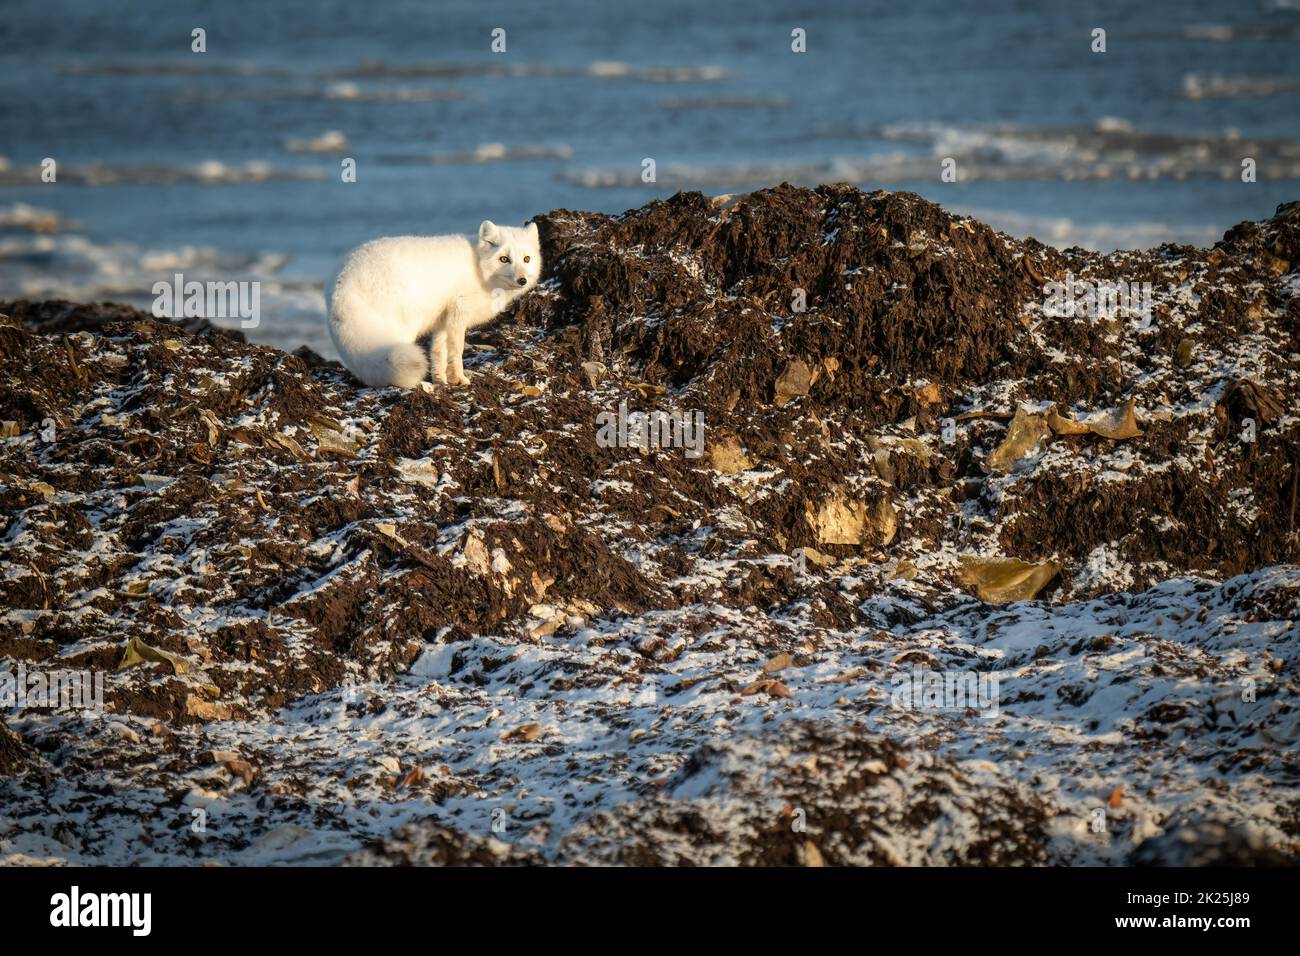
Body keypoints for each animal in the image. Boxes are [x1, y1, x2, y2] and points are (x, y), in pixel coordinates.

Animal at [327, 220, 541, 388]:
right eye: (504, 259)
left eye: (527, 259)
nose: (522, 280)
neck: (479, 270)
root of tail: (343, 279)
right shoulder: (457, 315)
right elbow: (456, 351)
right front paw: (459, 379)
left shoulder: (442, 321)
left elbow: (438, 352)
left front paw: (441, 380)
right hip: (404, 325)